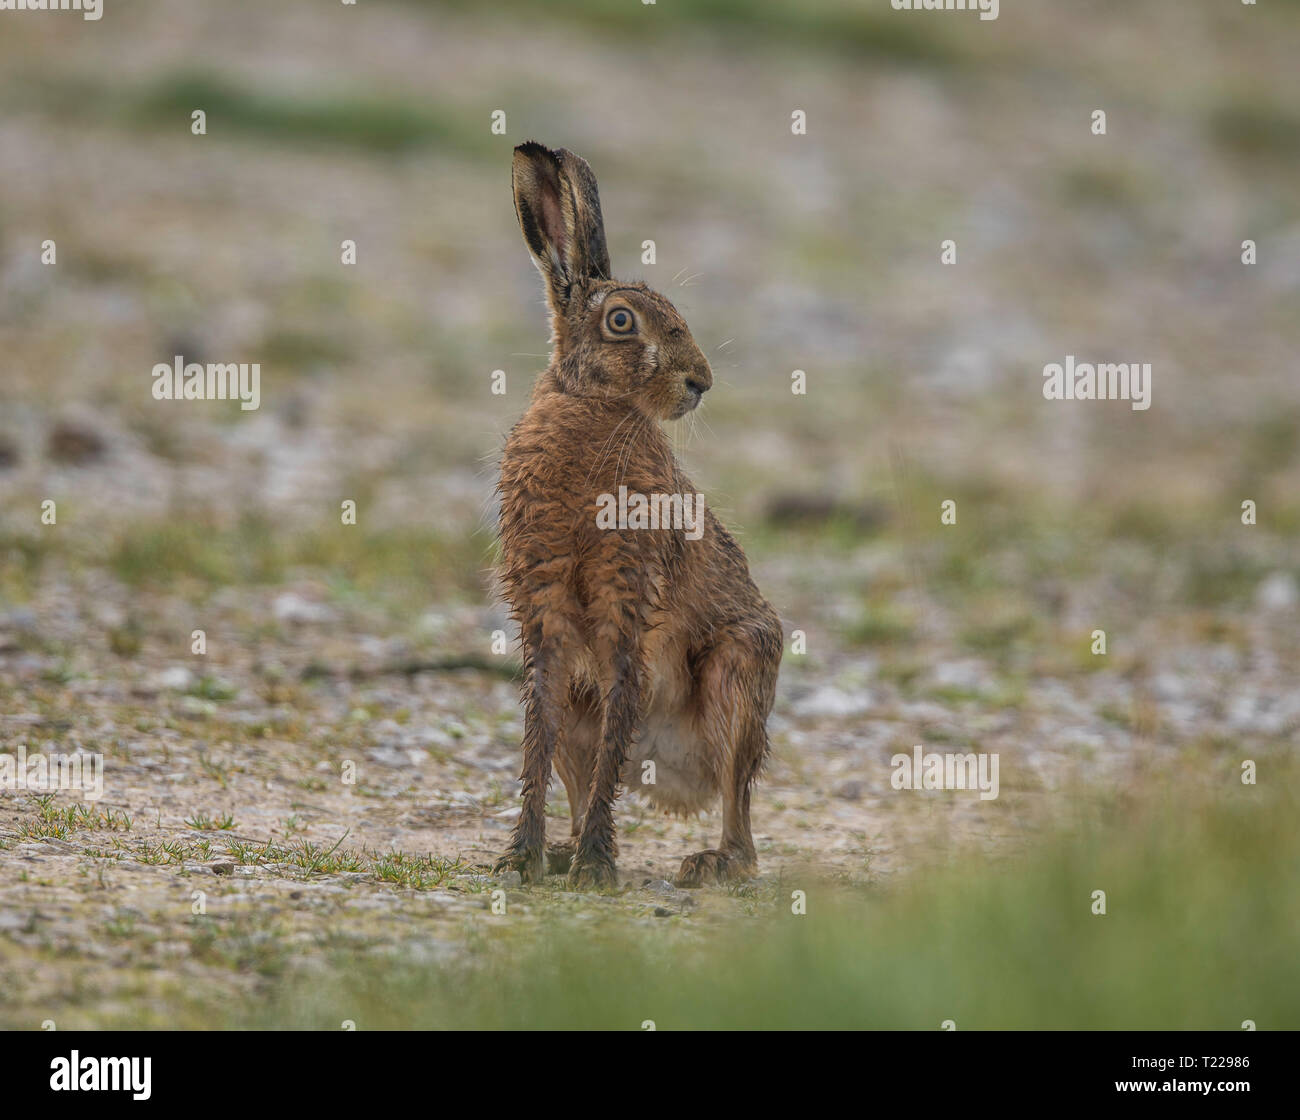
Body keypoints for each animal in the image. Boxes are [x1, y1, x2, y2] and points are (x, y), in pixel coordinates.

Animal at [493, 141, 782, 890]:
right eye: (621, 321)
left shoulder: (628, 597)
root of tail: (677, 779)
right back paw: (561, 850)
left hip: (740, 671)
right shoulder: (544, 611)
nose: (700, 382)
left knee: (739, 810)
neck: (592, 408)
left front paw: (597, 867)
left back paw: (709, 862)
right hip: (584, 703)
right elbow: (537, 735)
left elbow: (621, 701)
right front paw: (520, 859)